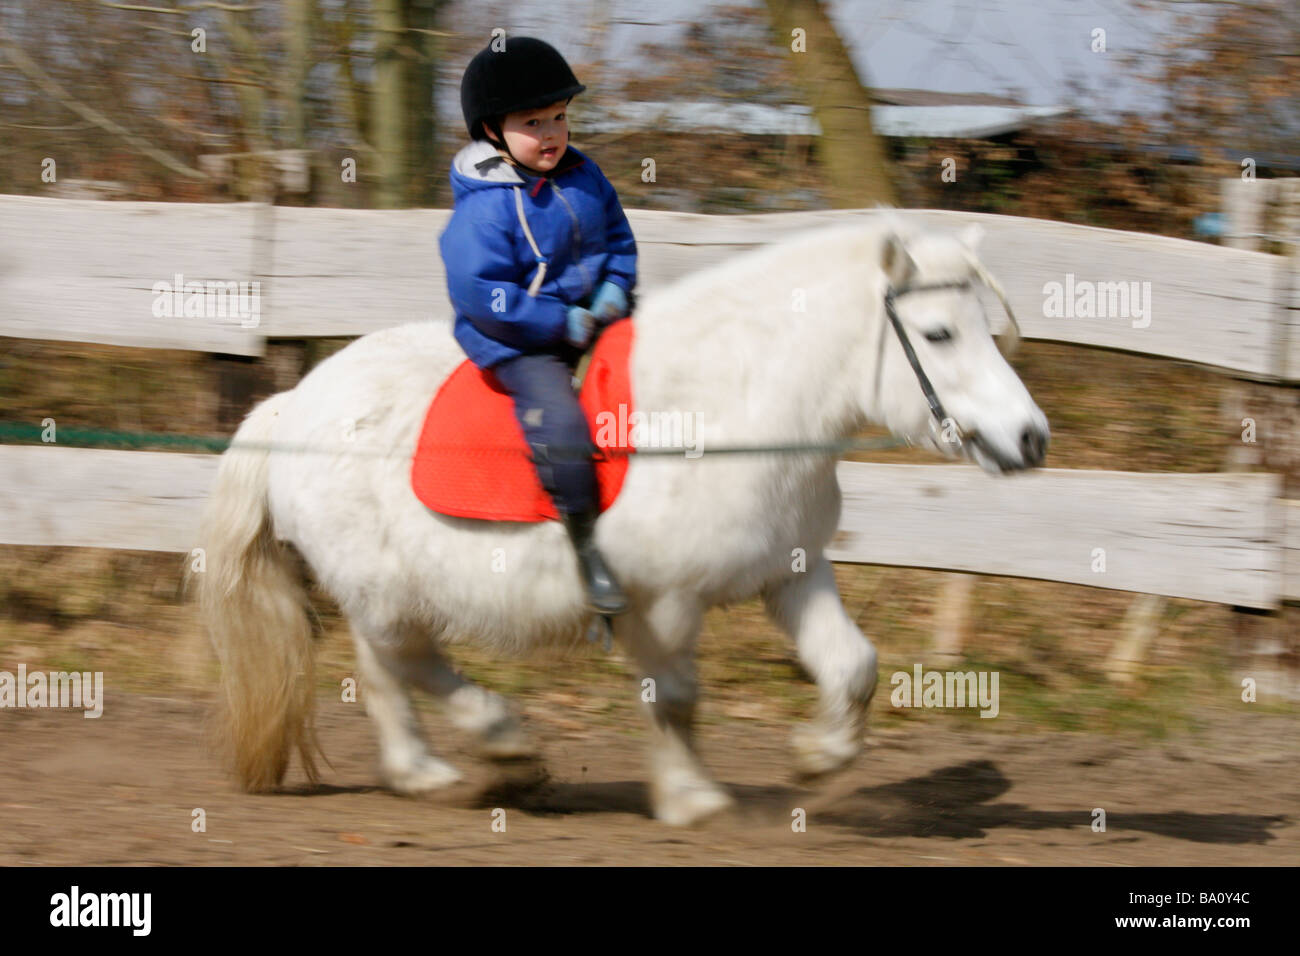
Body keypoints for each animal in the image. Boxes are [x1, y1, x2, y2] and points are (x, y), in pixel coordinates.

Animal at [194, 215, 1050, 826]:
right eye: (938, 333)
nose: (1031, 439)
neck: (729, 409)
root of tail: (292, 404)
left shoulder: (791, 574)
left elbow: (853, 666)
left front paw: (817, 757)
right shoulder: (661, 602)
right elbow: (673, 695)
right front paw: (692, 799)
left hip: (386, 593)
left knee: (383, 670)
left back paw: (429, 771)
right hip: (381, 589)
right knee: (404, 664)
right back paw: (501, 746)